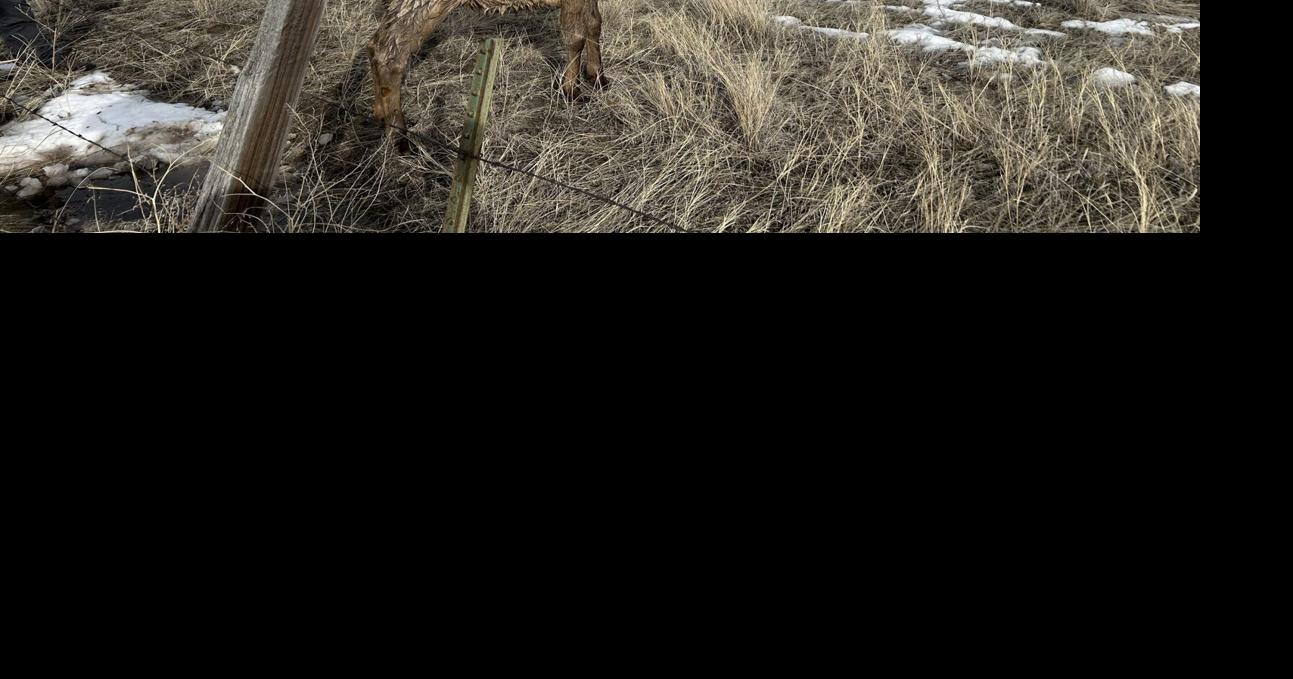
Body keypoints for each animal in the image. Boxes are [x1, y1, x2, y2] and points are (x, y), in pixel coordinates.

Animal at [368, 0, 607, 137]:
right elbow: (575, 37)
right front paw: (571, 91)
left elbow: (594, 24)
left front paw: (597, 76)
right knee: (389, 54)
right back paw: (399, 136)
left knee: (374, 45)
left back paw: (380, 114)